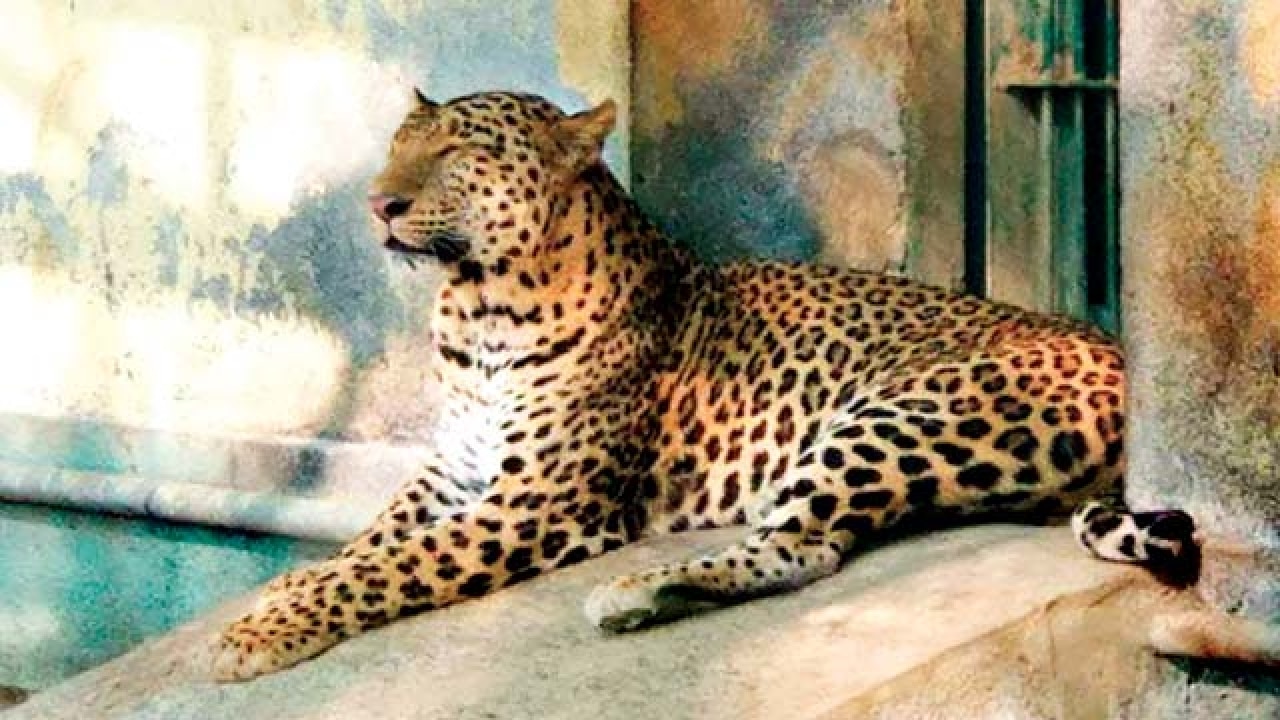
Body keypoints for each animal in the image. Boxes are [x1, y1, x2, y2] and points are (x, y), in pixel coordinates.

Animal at [211, 89, 1202, 681]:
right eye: (398, 147)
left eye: (457, 150)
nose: (378, 204)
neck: (479, 311)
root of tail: (1118, 353)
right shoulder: (454, 471)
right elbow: (365, 546)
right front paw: (279, 598)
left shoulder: (538, 502)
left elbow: (396, 564)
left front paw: (257, 634)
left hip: (896, 415)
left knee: (804, 546)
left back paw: (637, 593)